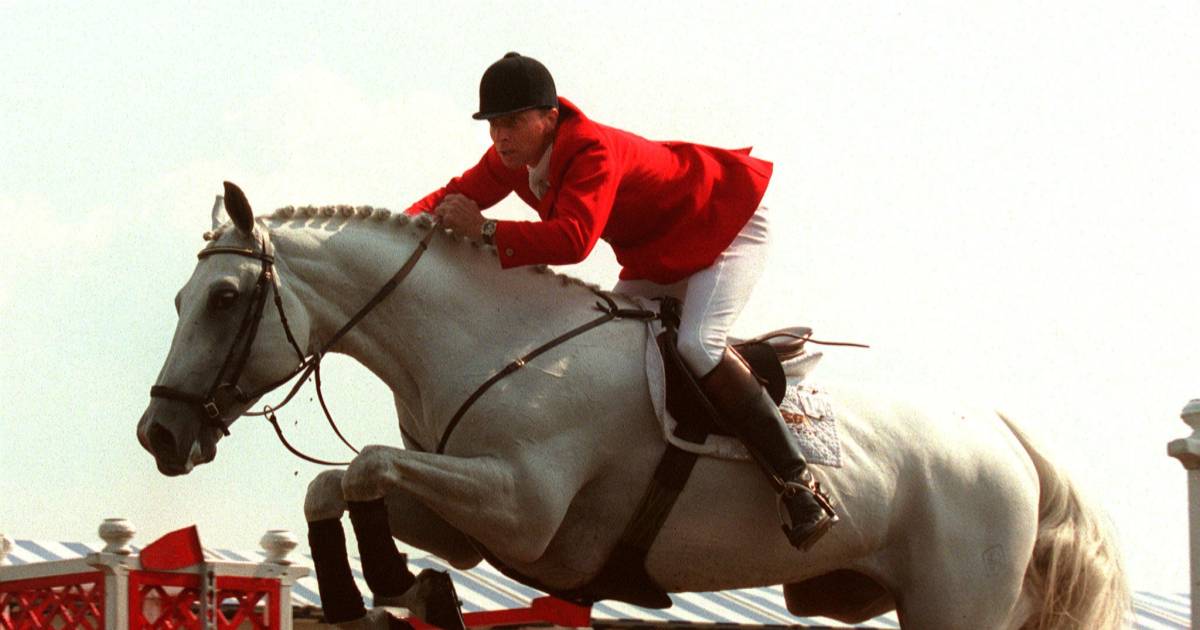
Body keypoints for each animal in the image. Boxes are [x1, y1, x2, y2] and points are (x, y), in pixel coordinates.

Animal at [138, 184, 1129, 629]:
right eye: (181, 298)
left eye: (224, 298)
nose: (159, 434)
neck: (488, 340)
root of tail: (1006, 437)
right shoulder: (474, 521)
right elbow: (342, 482)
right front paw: (387, 586)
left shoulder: (524, 509)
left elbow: (367, 464)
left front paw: (376, 583)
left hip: (960, 602)